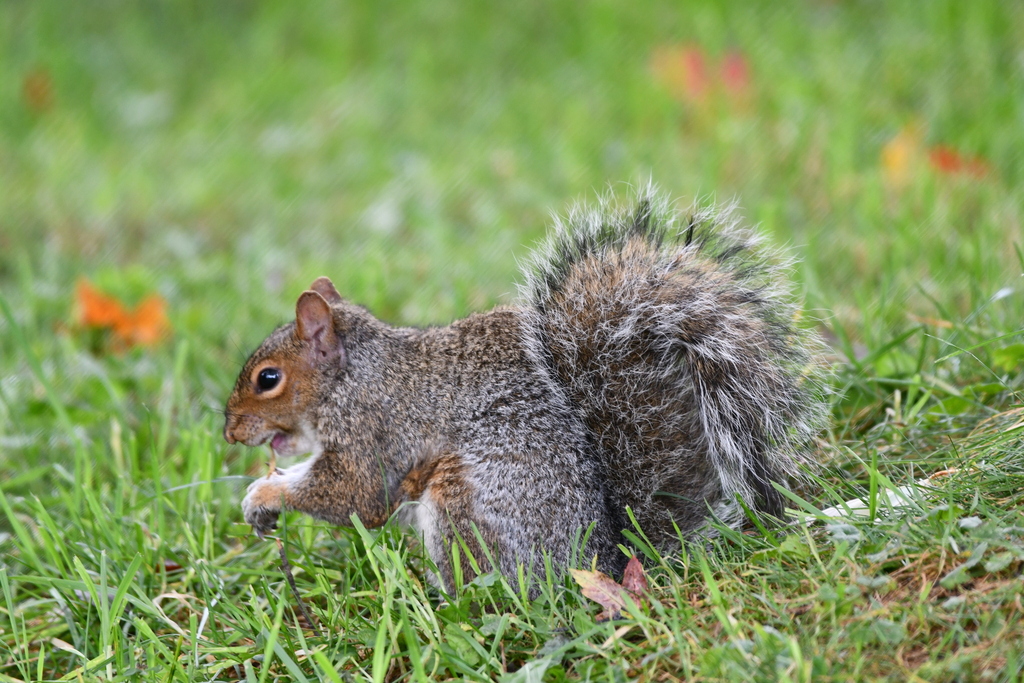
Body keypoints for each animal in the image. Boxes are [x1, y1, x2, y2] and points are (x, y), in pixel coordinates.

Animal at [223, 188, 827, 588]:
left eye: (268, 379)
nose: (230, 433)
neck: (352, 373)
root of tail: (603, 563)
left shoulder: (371, 428)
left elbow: (354, 495)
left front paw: (267, 495)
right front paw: (259, 495)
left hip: (466, 502)